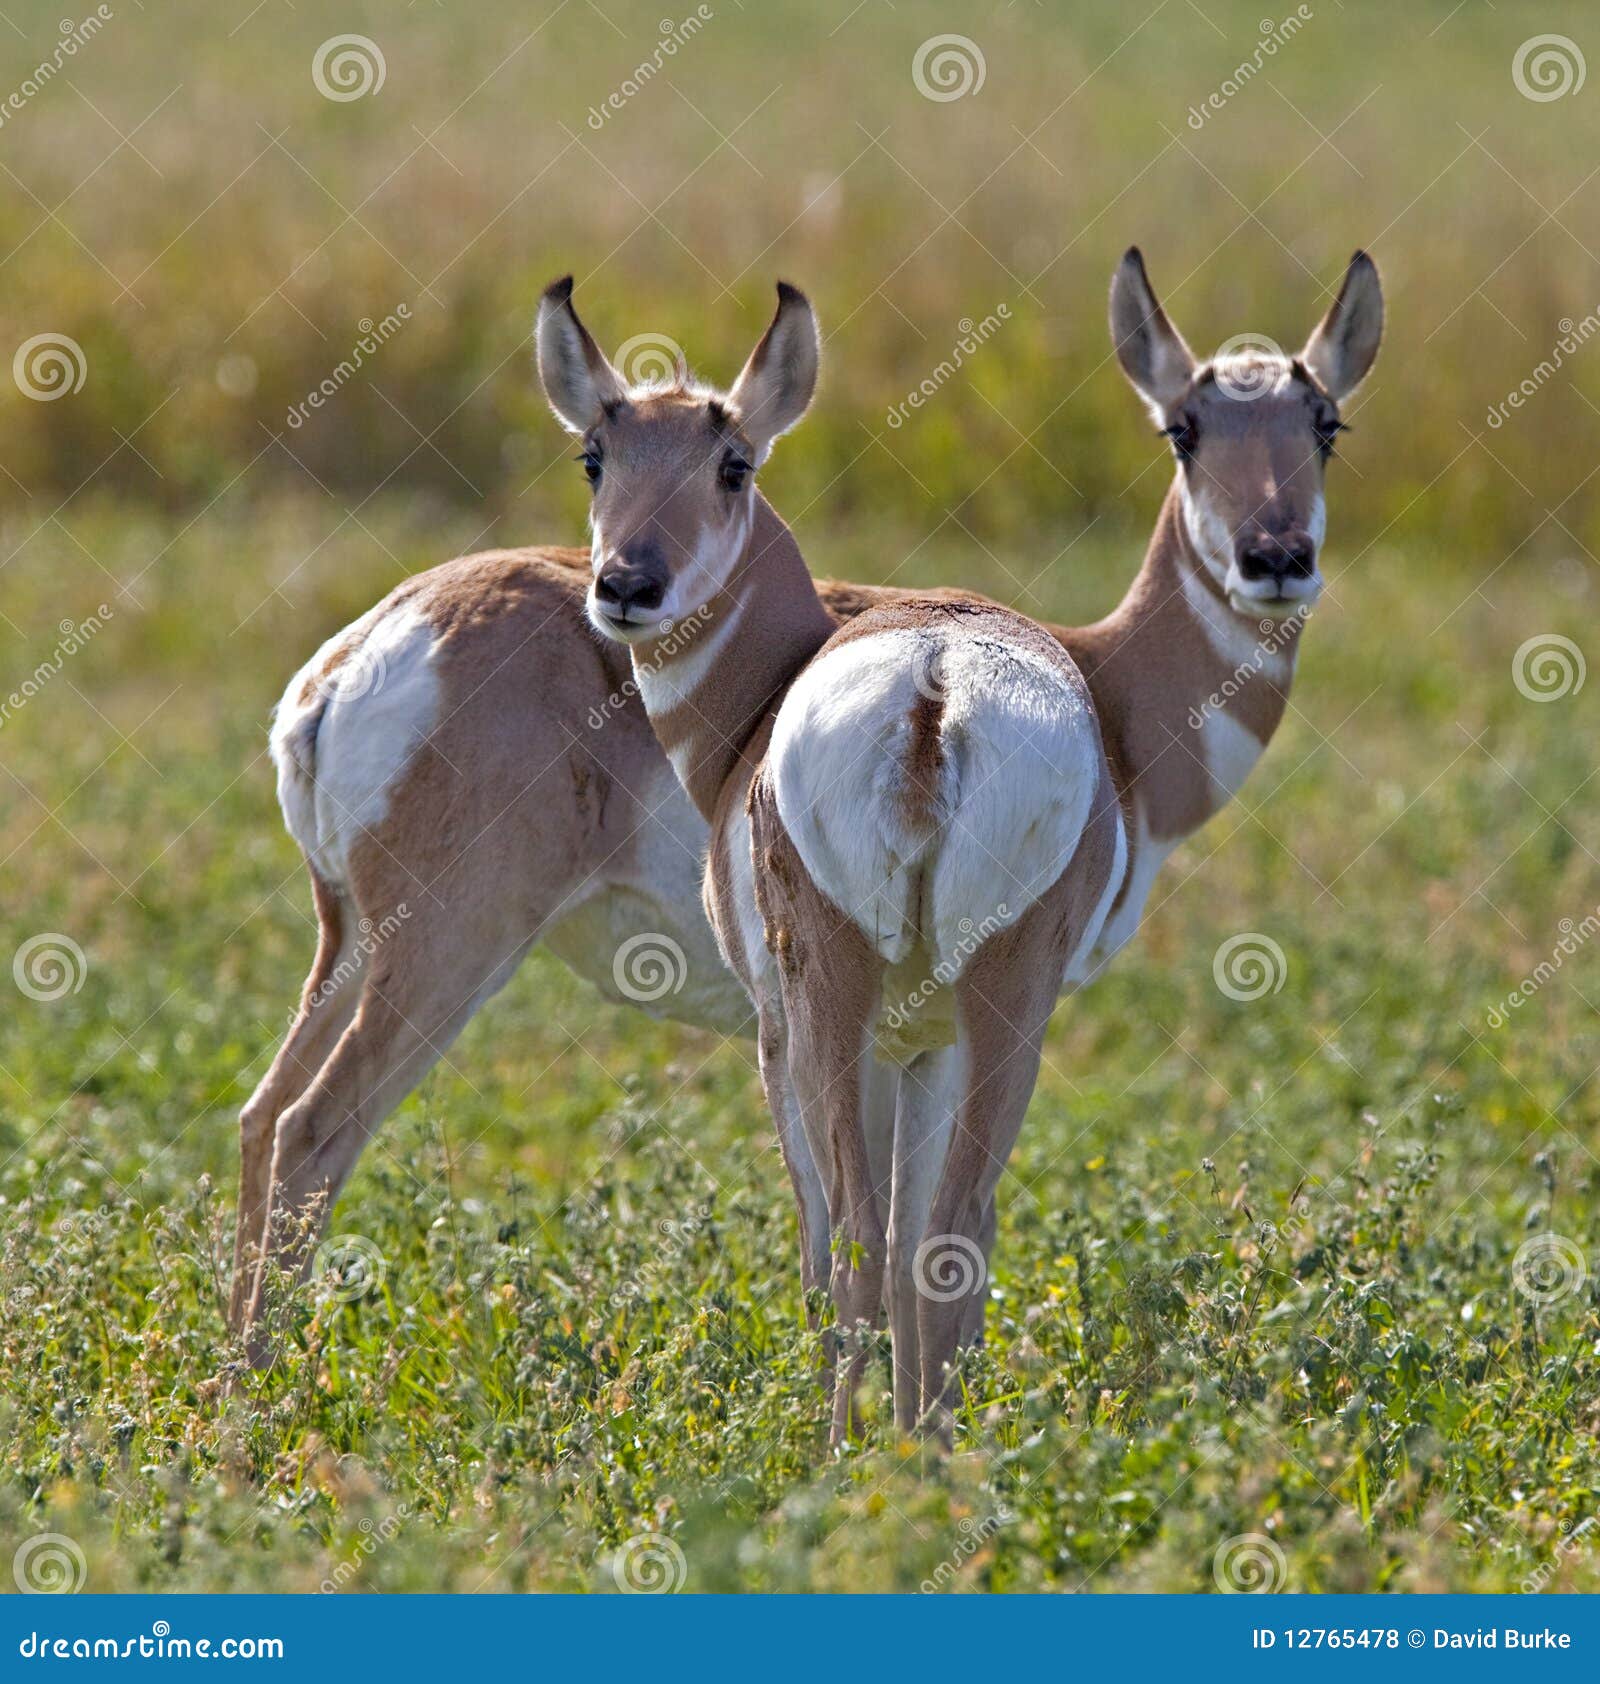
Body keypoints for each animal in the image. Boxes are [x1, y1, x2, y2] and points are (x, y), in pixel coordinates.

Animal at [232, 251, 1382, 1416]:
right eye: (1184, 427)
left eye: (1324, 422)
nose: (1274, 557)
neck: (1111, 685)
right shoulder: (818, 1033)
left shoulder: (915, 1040)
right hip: (472, 949)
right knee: (319, 1129)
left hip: (360, 944)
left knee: (264, 1117)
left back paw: (237, 1395)